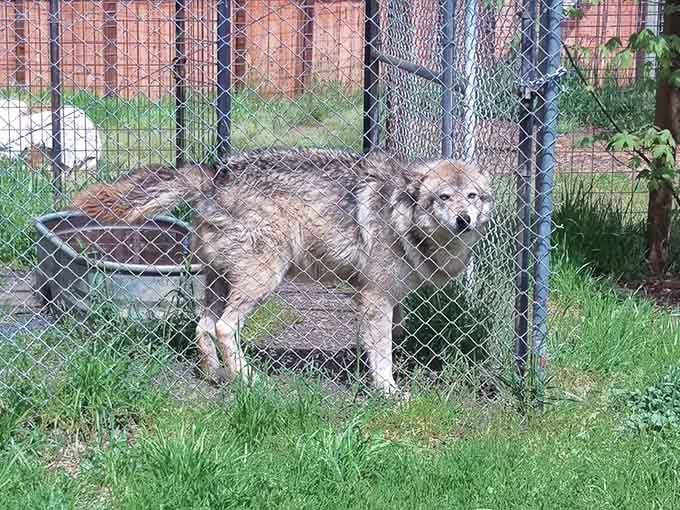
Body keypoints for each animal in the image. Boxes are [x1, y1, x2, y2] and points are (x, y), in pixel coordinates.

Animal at [72, 149, 494, 396]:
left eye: (472, 196)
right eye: (443, 198)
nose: (463, 220)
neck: (400, 213)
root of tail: (215, 175)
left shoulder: (387, 300)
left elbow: (388, 340)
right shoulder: (375, 297)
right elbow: (383, 353)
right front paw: (388, 392)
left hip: (219, 283)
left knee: (202, 327)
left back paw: (214, 375)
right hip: (264, 279)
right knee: (224, 327)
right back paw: (248, 379)